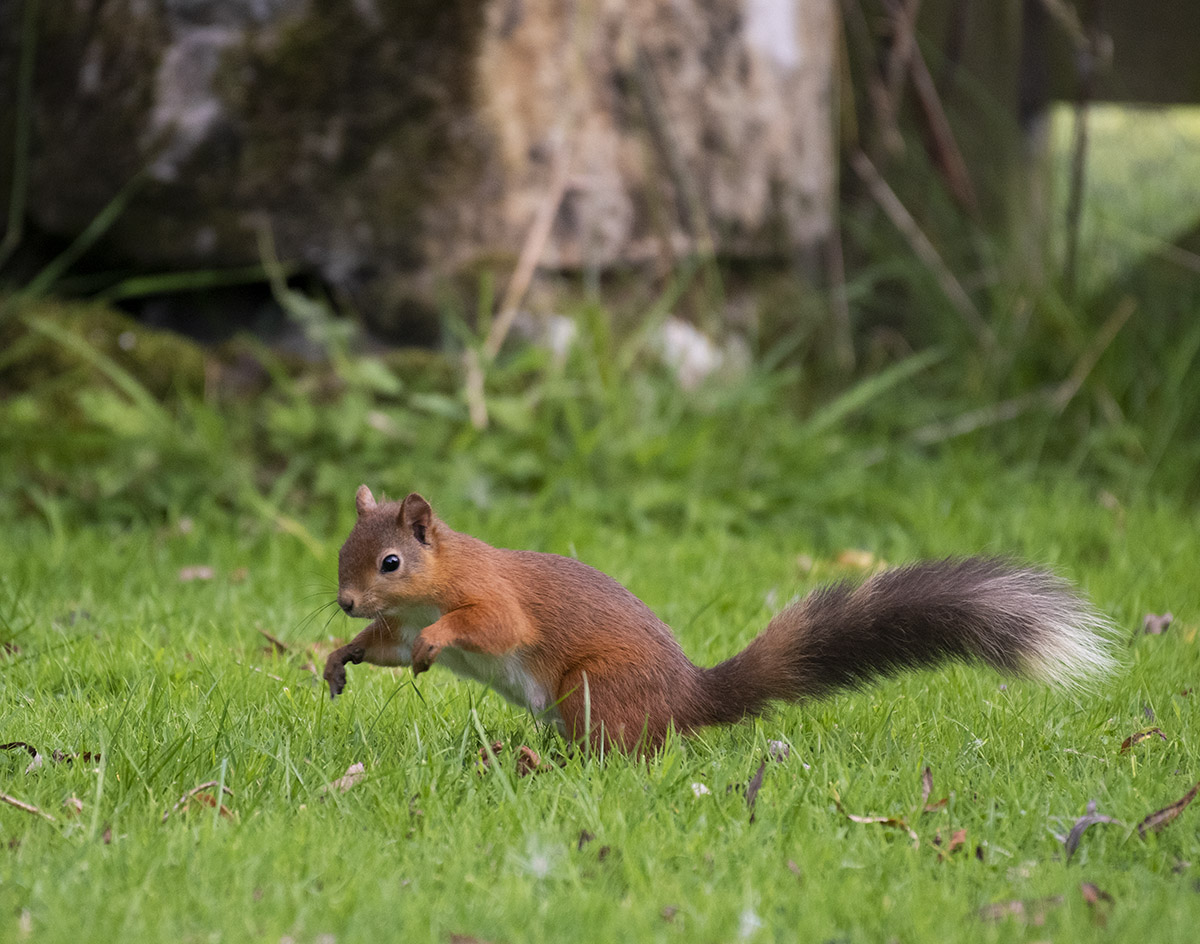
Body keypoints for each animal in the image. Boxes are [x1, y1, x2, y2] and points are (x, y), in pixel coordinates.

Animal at [324, 486, 1115, 752]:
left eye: (390, 561)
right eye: (341, 554)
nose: (346, 600)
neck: (429, 589)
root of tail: (687, 697)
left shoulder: (493, 596)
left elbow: (489, 627)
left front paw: (433, 643)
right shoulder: (394, 623)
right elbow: (382, 646)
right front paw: (339, 656)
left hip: (595, 688)